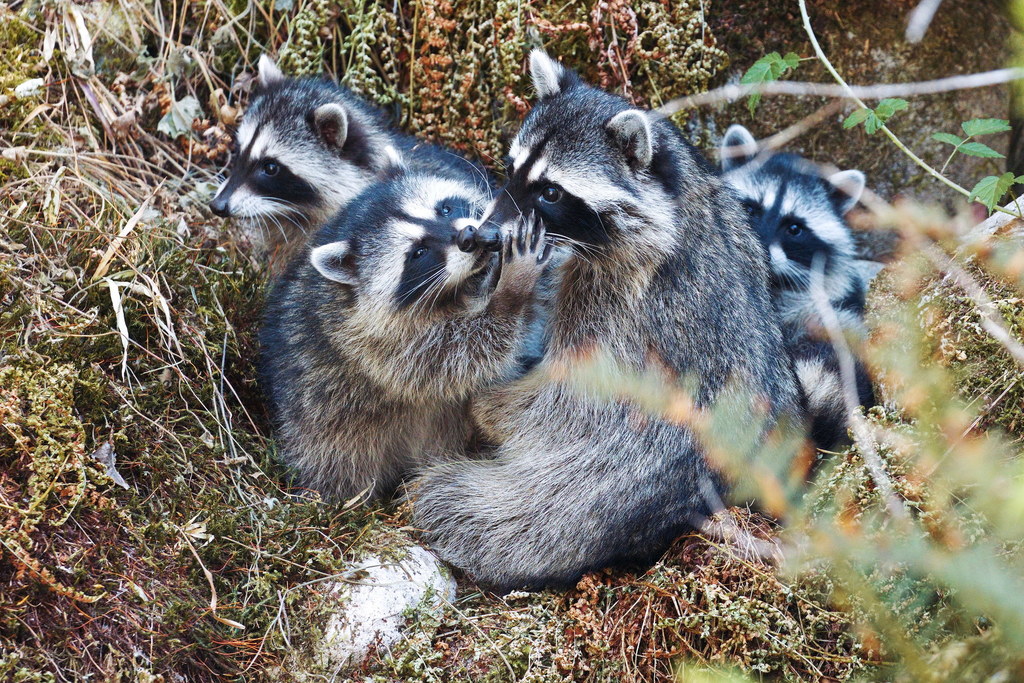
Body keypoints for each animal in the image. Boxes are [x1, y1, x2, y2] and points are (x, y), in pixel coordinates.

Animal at [259, 151, 549, 502]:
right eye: (418, 252)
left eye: (445, 209)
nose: (470, 237)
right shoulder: (373, 346)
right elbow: (461, 355)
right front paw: (510, 290)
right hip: (323, 437)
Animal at [410, 51, 804, 591]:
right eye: (512, 168)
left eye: (552, 192)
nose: (488, 233)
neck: (676, 202)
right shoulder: (732, 218)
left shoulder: (616, 299)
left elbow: (568, 394)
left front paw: (491, 405)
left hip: (590, 487)